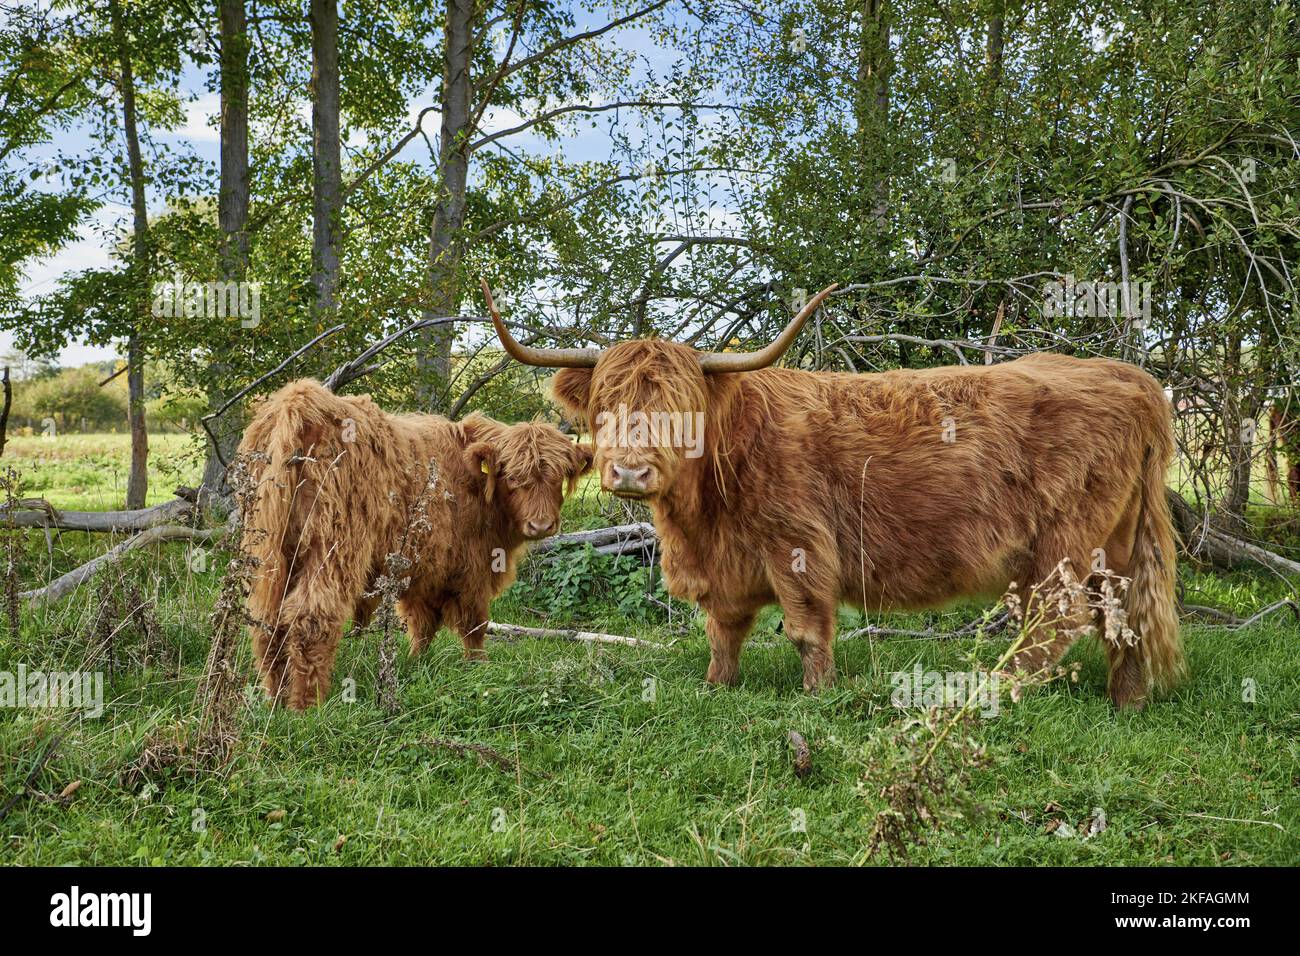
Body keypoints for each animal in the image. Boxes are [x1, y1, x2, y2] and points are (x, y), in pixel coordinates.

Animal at [239, 378, 593, 709]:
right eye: (513, 477)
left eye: (559, 476)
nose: (541, 525)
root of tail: (299, 401)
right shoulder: (473, 567)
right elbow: (474, 624)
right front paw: (478, 667)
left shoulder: (423, 567)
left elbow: (422, 624)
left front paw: (416, 663)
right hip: (332, 544)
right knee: (309, 617)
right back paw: (306, 706)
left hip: (269, 549)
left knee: (267, 620)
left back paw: (275, 699)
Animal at [483, 280, 1186, 709]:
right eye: (604, 406)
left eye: (681, 409)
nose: (629, 474)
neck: (701, 514)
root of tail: (1133, 378)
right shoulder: (725, 568)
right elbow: (722, 630)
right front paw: (717, 685)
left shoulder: (797, 545)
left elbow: (805, 629)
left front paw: (816, 696)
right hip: (1116, 545)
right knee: (1122, 619)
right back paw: (1125, 701)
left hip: (1062, 545)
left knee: (1055, 622)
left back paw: (989, 692)